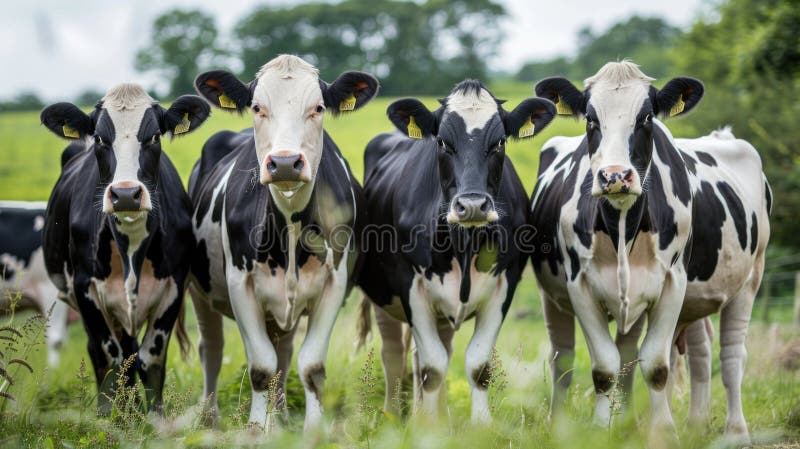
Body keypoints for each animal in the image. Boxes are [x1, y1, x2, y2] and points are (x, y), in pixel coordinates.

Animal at [39, 84, 210, 414]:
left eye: (154, 136)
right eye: (100, 138)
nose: (126, 194)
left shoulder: (174, 285)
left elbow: (149, 358)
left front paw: (154, 417)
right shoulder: (85, 288)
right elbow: (109, 357)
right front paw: (112, 417)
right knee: (107, 353)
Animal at [189, 54, 378, 431]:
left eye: (318, 107)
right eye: (257, 107)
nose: (286, 162)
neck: (289, 226)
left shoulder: (335, 283)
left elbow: (310, 366)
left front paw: (311, 429)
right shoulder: (239, 283)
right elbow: (261, 366)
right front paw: (257, 429)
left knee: (284, 352)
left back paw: (282, 416)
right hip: (197, 287)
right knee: (212, 349)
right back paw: (209, 417)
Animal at [356, 79, 556, 423]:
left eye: (499, 142)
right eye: (442, 142)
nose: (472, 205)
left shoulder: (505, 283)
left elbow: (477, 364)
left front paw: (479, 425)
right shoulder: (410, 284)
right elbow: (432, 366)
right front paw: (427, 426)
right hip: (383, 295)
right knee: (394, 353)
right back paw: (394, 414)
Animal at [530, 61, 769, 444]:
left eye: (646, 118)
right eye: (591, 120)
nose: (614, 176)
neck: (622, 224)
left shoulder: (673, 282)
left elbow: (656, 365)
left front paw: (664, 432)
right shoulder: (579, 285)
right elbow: (606, 367)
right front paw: (603, 430)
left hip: (750, 279)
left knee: (732, 355)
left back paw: (734, 432)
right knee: (575, 355)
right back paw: (687, 425)